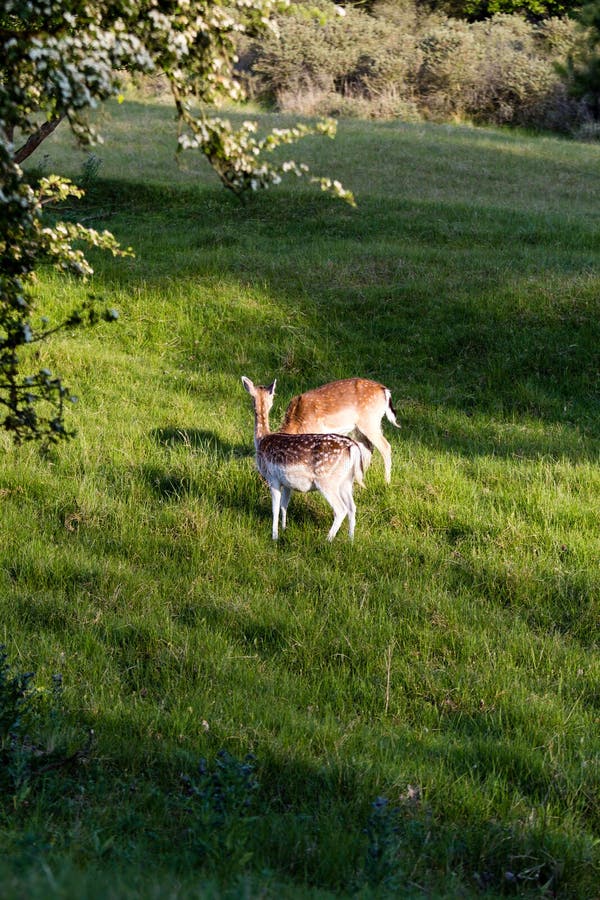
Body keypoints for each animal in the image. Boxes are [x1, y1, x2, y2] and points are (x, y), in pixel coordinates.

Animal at [242, 376, 369, 541]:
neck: (262, 440)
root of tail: (353, 447)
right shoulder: (287, 483)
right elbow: (284, 504)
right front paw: (284, 528)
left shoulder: (272, 477)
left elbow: (275, 508)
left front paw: (274, 535)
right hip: (346, 480)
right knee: (352, 507)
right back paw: (350, 539)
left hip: (326, 480)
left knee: (341, 509)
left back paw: (328, 540)